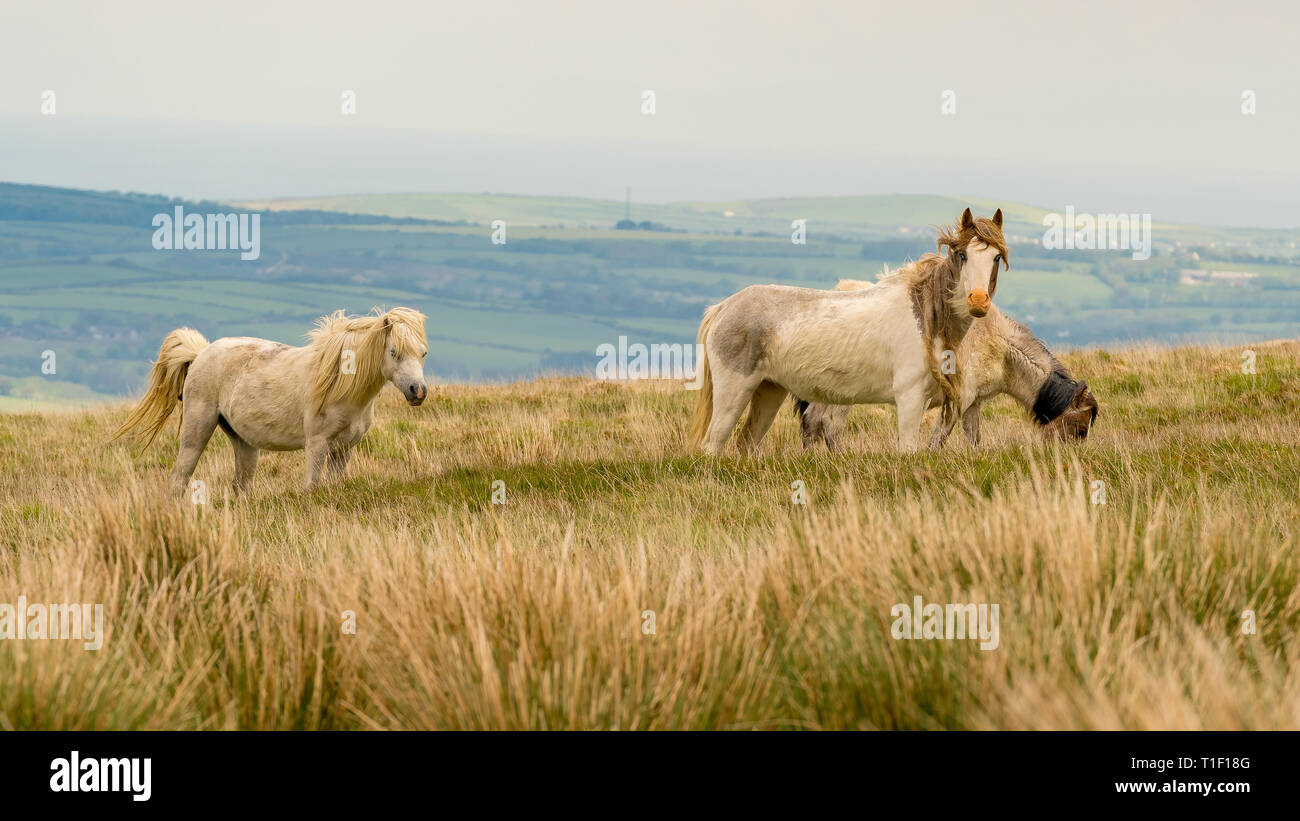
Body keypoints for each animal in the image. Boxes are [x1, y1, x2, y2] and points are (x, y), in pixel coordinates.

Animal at [112, 307, 429, 493]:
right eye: (394, 352)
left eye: (423, 352)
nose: (418, 391)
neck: (344, 386)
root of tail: (201, 353)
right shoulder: (317, 444)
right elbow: (312, 486)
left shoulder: (344, 449)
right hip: (197, 430)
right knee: (179, 478)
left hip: (243, 441)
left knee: (240, 484)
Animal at [688, 208, 1008, 455]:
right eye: (963, 255)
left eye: (995, 257)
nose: (978, 301)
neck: (926, 318)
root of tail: (724, 307)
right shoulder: (909, 399)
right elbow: (908, 450)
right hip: (734, 393)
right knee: (712, 445)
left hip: (769, 391)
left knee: (747, 443)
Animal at [795, 286, 1098, 451]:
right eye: (1080, 429)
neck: (995, 343)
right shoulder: (959, 399)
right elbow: (939, 439)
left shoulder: (974, 402)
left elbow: (973, 438)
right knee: (830, 425)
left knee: (812, 420)